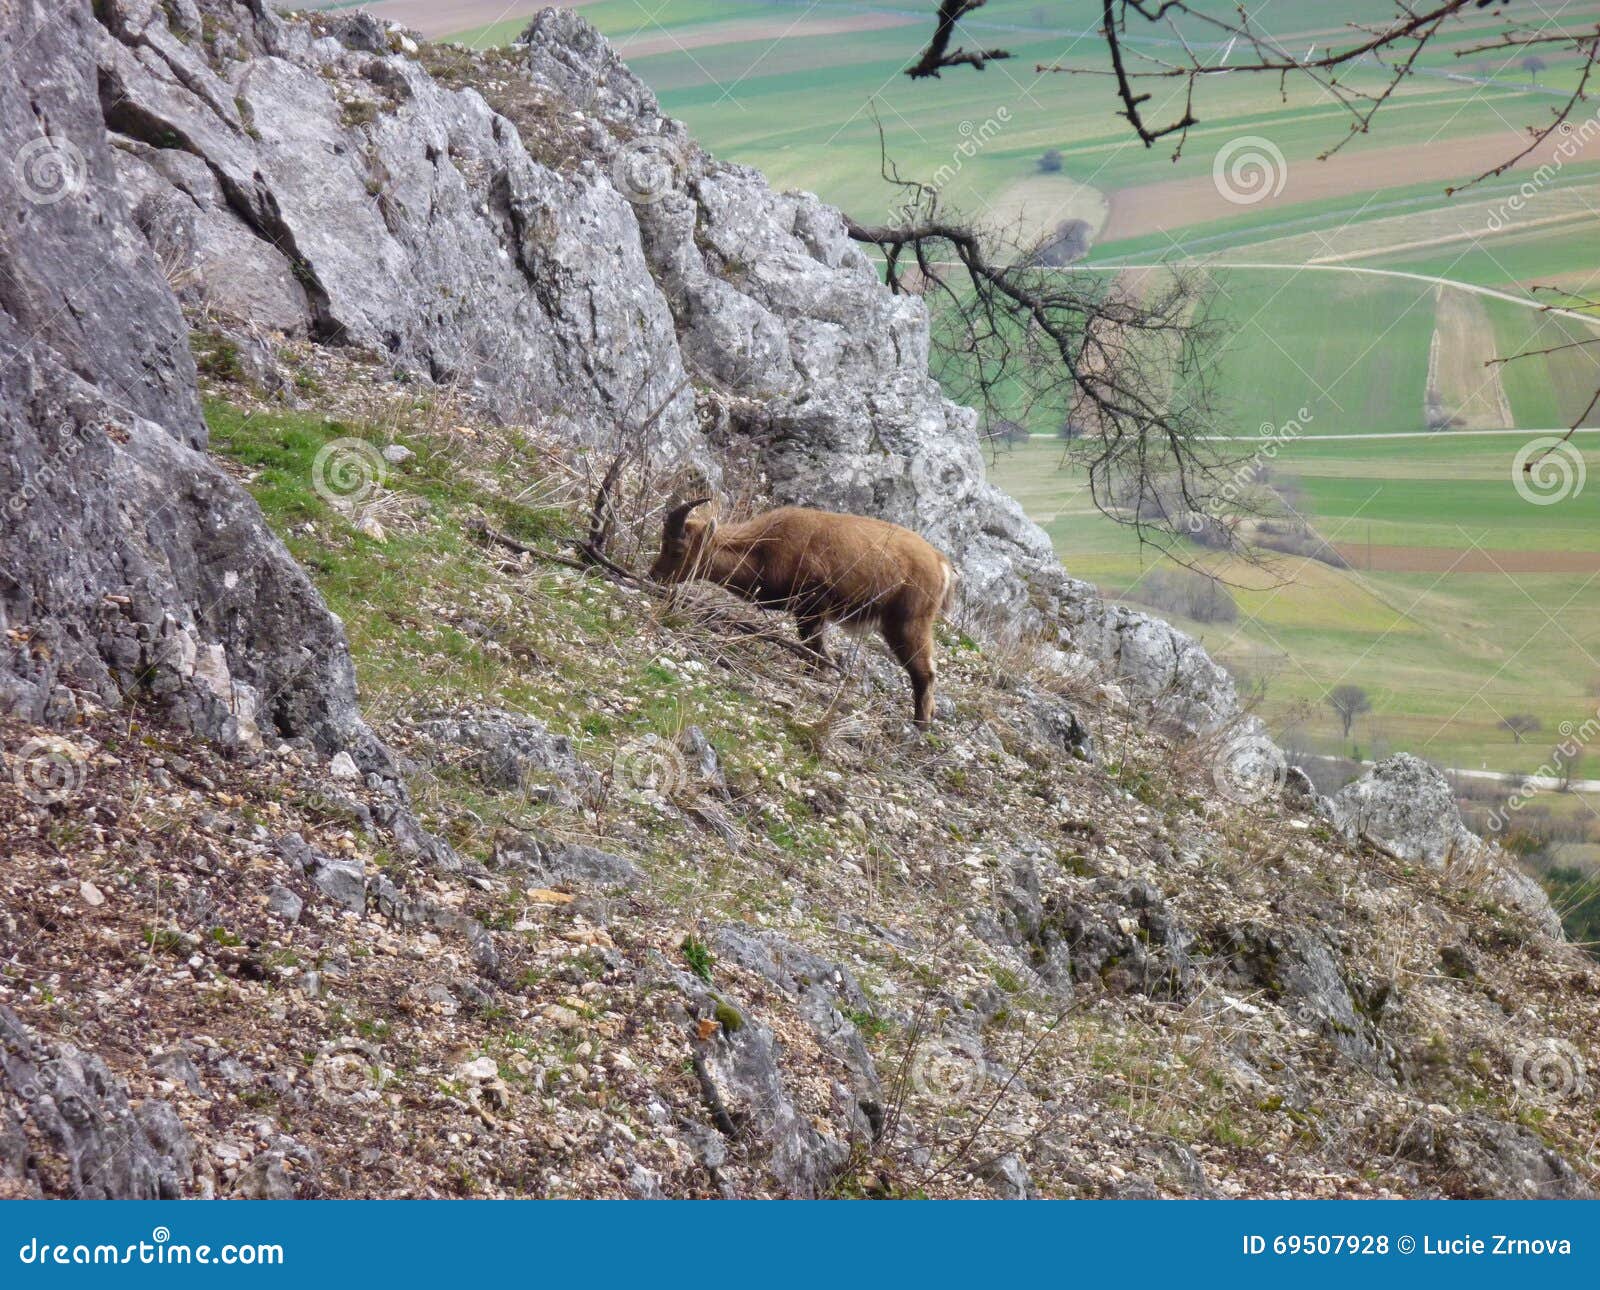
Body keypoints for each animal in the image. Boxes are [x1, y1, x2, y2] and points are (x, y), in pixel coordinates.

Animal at [649, 500, 956, 729]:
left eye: (677, 549)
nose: (653, 576)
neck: (762, 548)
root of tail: (940, 563)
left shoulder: (812, 606)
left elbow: (815, 647)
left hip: (908, 621)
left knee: (925, 672)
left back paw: (920, 723)